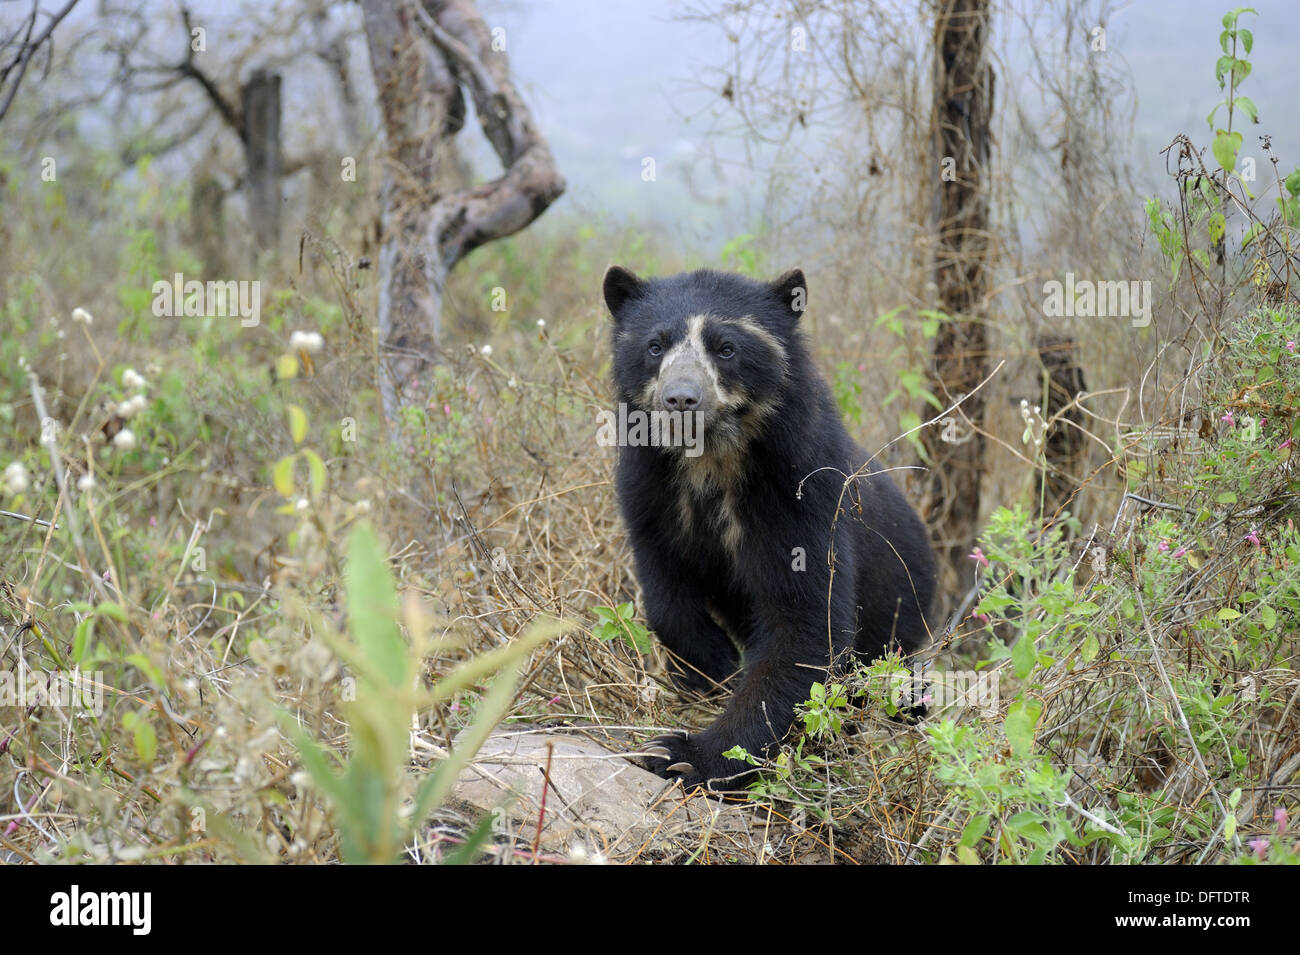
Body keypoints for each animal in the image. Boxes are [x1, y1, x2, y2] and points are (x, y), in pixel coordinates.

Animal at [603, 265, 937, 793]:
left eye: (726, 347)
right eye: (655, 345)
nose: (681, 399)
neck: (710, 460)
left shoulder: (799, 491)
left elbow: (804, 627)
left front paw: (684, 756)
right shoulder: (648, 489)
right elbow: (664, 590)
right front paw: (712, 666)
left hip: (899, 614)